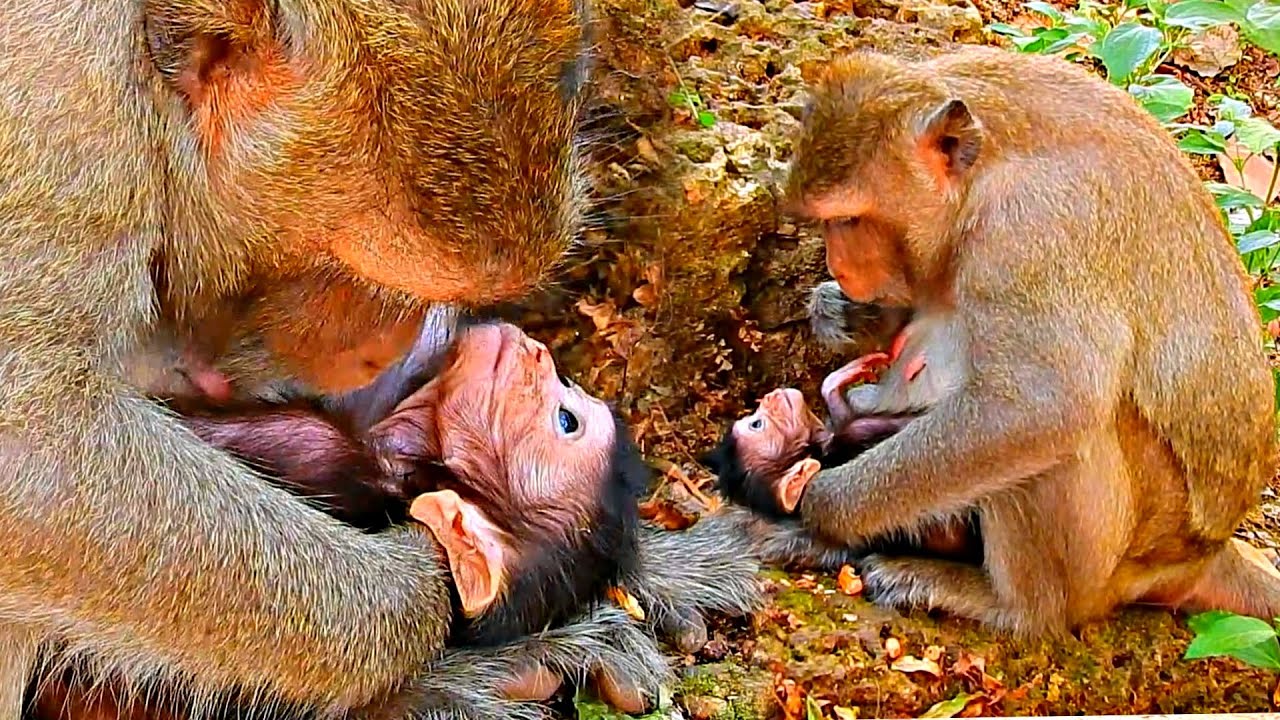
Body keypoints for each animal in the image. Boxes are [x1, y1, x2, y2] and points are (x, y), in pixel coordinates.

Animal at [0, 0, 760, 717]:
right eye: (368, 282)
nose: (382, 351)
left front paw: (637, 564)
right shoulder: (63, 99)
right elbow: (32, 446)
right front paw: (436, 603)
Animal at [768, 45, 1280, 638]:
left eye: (850, 219)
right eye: (826, 223)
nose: (839, 266)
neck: (981, 177)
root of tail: (1200, 557)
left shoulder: (1032, 232)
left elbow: (1040, 406)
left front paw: (822, 506)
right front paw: (842, 315)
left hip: (1122, 554)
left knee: (1055, 436)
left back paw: (1015, 605)